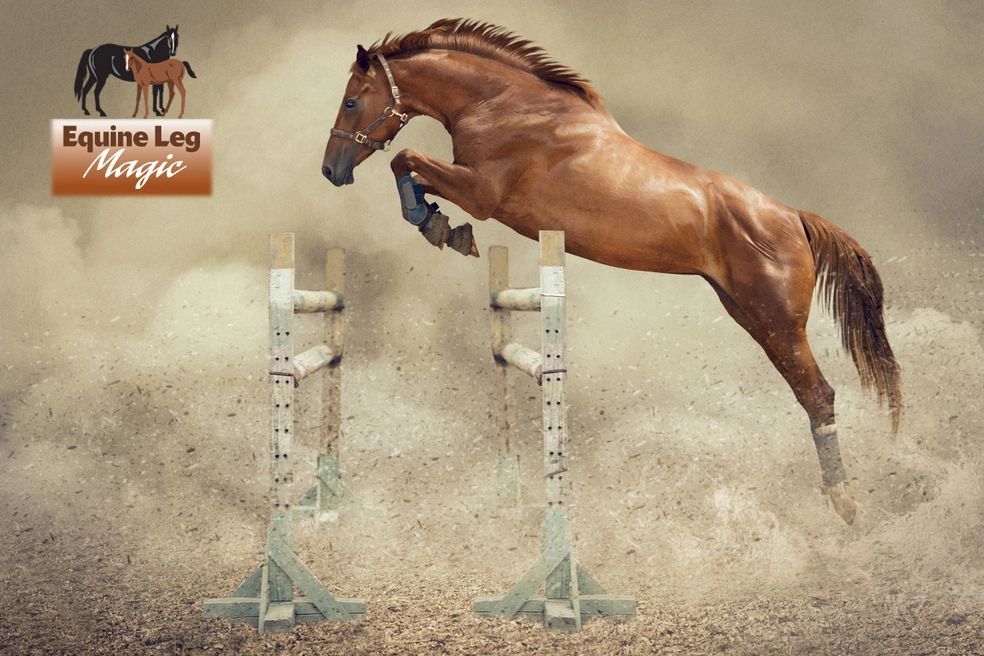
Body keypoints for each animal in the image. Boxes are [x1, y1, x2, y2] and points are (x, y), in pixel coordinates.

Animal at [321, 19, 903, 525]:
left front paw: (439, 227)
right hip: (750, 316)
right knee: (810, 394)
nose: (331, 170)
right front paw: (441, 225)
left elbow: (406, 160)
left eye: (351, 100)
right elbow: (411, 170)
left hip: (777, 323)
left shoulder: (482, 193)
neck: (503, 105)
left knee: (819, 395)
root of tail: (792, 216)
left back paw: (845, 503)